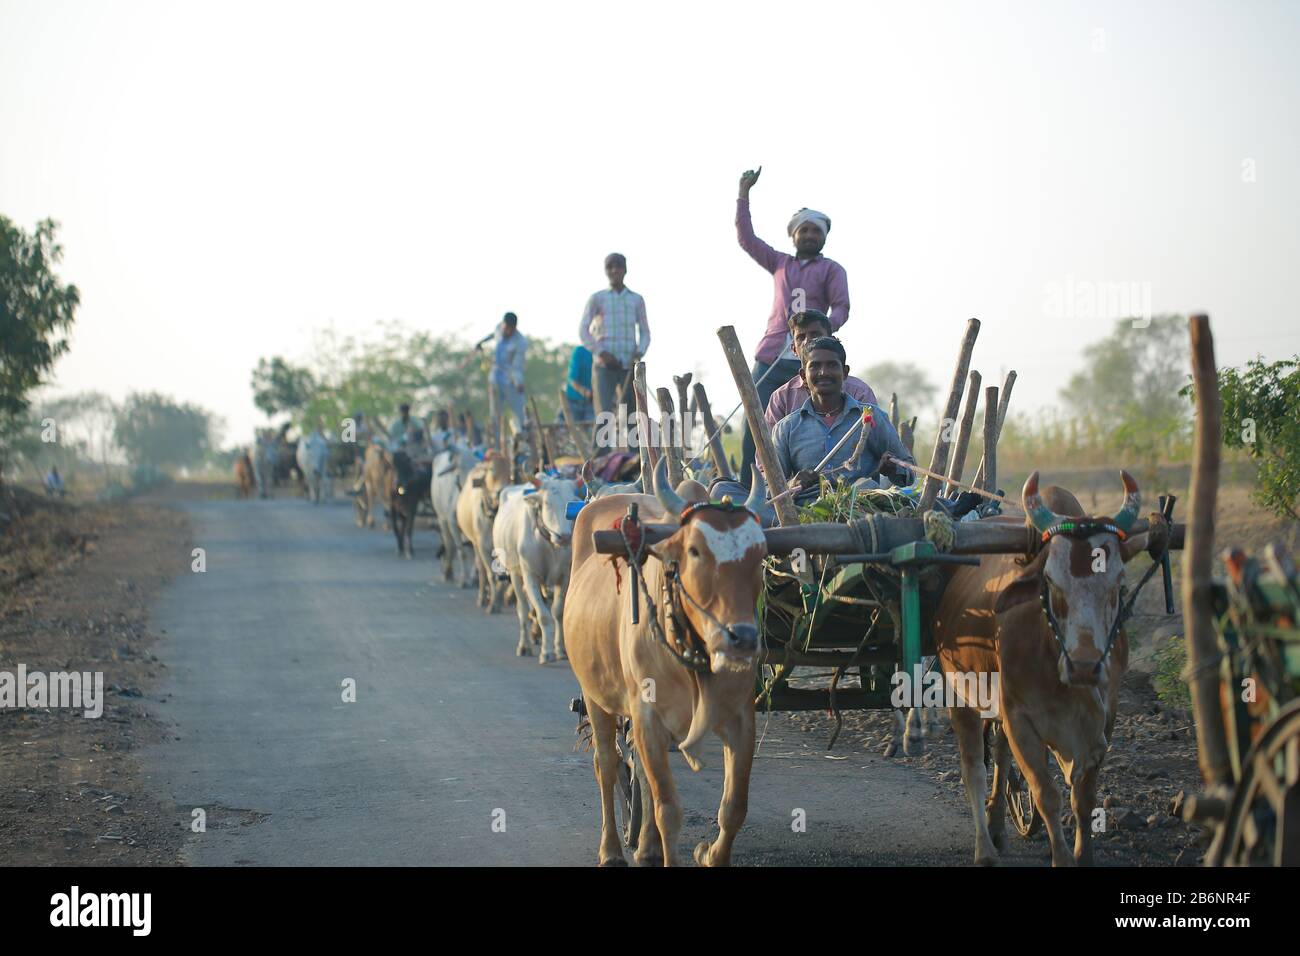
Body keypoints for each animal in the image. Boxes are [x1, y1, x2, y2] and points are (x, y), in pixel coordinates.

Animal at [431, 444, 480, 588]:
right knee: (449, 543)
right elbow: (462, 551)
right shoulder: (452, 522)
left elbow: (475, 552)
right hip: (442, 519)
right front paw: (463, 580)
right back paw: (448, 572)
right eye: (459, 471)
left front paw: (474, 578)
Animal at [455, 450, 513, 612]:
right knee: (481, 570)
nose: (501, 491)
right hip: (475, 544)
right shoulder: (483, 546)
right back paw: (482, 597)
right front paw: (493, 604)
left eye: (510, 471)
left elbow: (503, 577)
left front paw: (497, 599)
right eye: (492, 470)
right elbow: (491, 574)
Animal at [491, 473, 583, 663]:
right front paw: (546, 652)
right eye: (547, 503)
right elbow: (543, 615)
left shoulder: (565, 576)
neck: (549, 545)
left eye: (570, 501)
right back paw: (524, 645)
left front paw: (560, 649)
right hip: (515, 575)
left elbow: (557, 612)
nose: (564, 537)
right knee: (523, 609)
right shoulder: (530, 576)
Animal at [565, 458, 768, 866]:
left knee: (639, 772)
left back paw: (646, 846)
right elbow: (668, 810)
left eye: (759, 554)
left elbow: (734, 807)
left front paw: (710, 853)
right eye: (694, 550)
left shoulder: (740, 718)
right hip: (595, 697)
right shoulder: (647, 716)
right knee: (606, 765)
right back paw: (612, 849)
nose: (742, 638)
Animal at [931, 470, 1145, 866]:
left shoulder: (1105, 717)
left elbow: (1083, 798)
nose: (1084, 666)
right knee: (974, 768)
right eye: (1051, 581)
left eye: (1118, 583)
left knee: (999, 757)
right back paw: (985, 848)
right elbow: (1046, 794)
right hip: (960, 694)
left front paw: (1084, 856)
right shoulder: (1021, 720)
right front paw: (1061, 856)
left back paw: (997, 828)